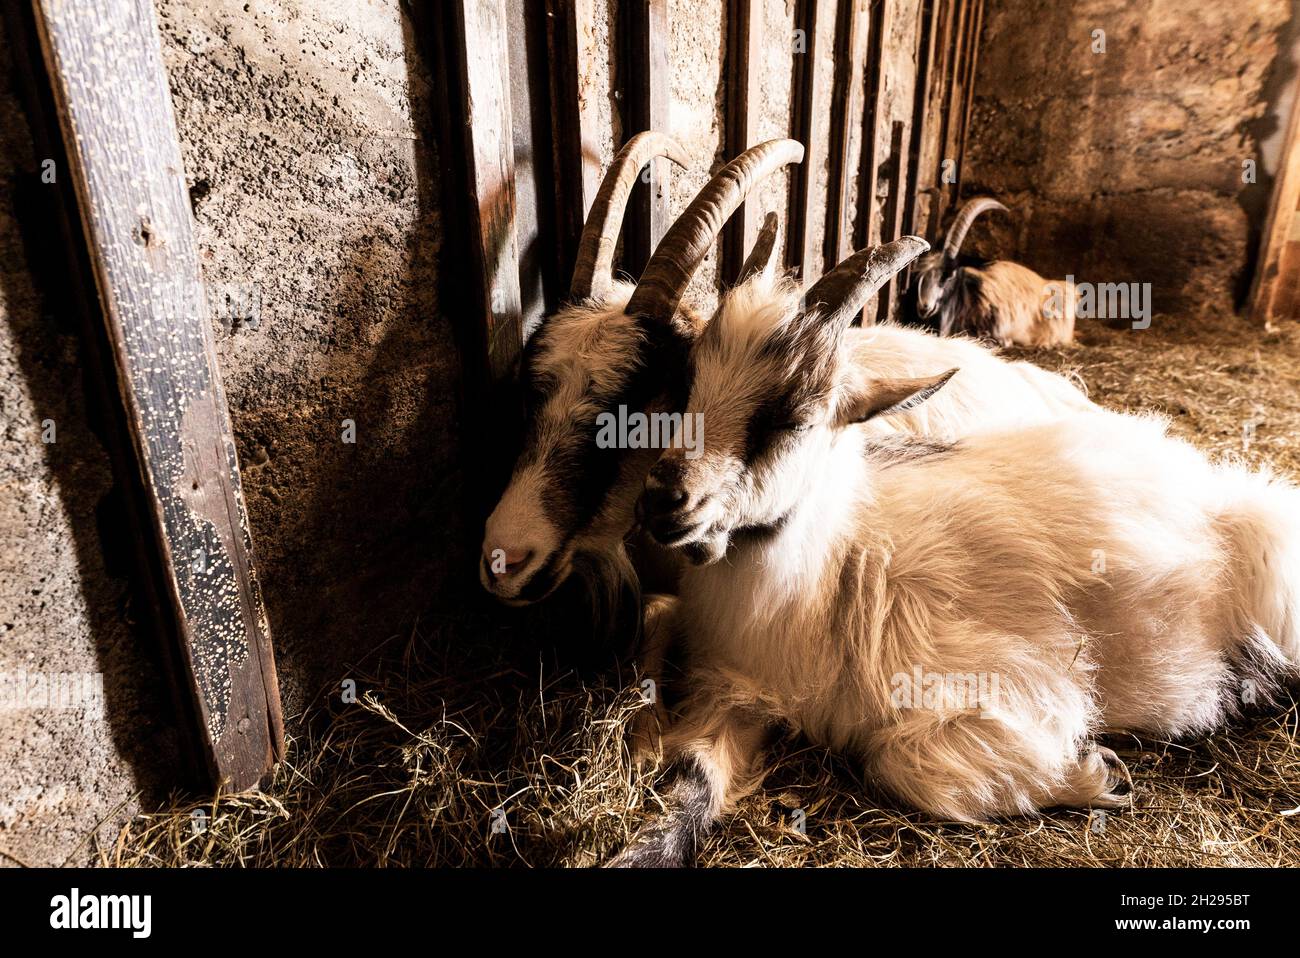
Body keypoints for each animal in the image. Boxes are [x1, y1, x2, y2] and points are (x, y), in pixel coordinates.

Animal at [618, 235, 1300, 866]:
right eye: (689, 386)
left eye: (792, 417)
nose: (663, 500)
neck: (834, 575)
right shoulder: (737, 691)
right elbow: (692, 778)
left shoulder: (997, 679)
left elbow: (905, 763)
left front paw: (1096, 771)